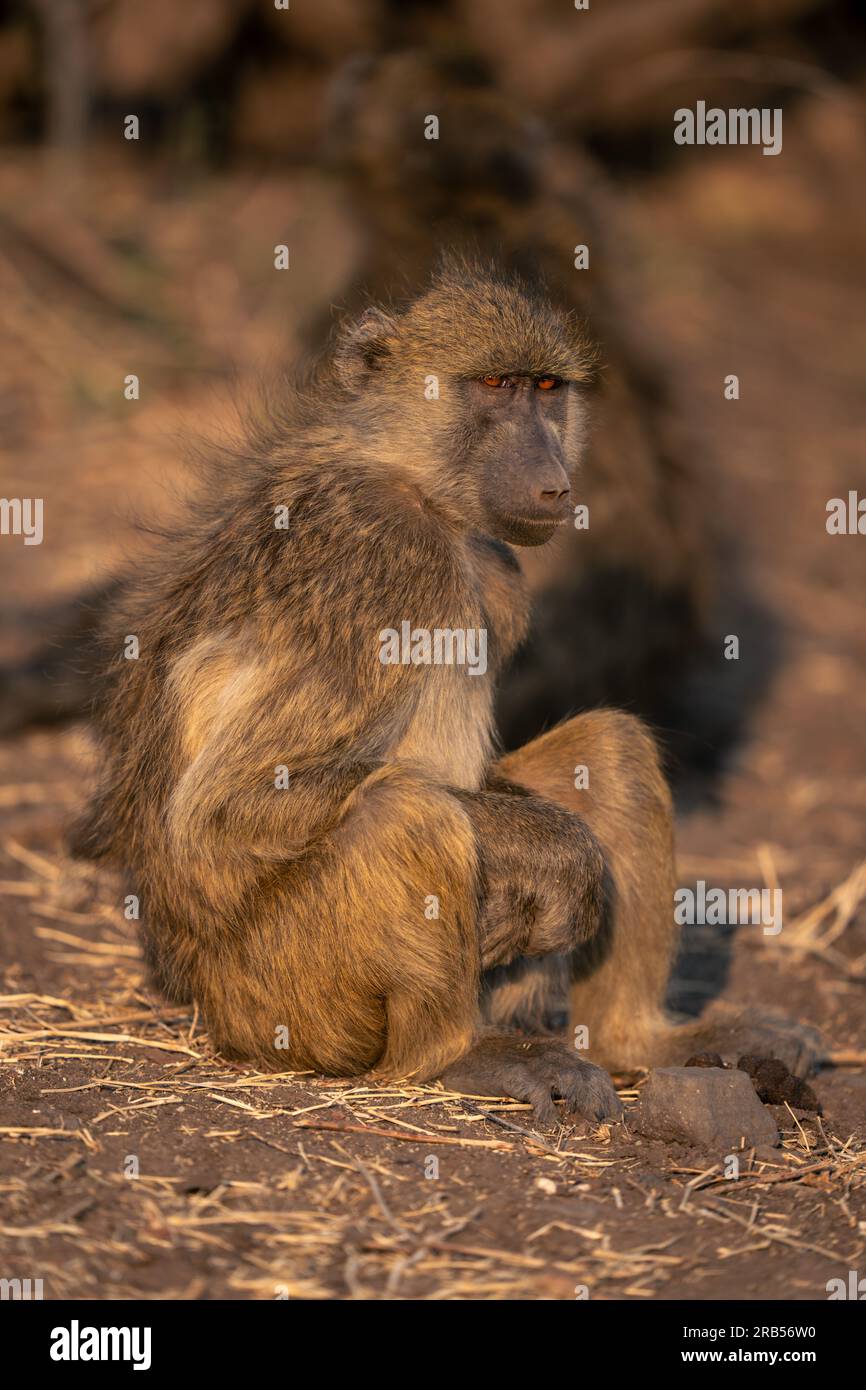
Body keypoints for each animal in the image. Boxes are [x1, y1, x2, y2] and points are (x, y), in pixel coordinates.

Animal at [71, 262, 821, 1123]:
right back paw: (455, 1058)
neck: (414, 485)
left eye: (546, 388)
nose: (553, 482)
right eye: (494, 385)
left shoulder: (500, 573)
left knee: (611, 747)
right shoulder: (382, 555)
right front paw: (559, 859)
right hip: (289, 1002)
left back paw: (642, 1041)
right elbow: (228, 807)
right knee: (407, 814)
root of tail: (200, 999)